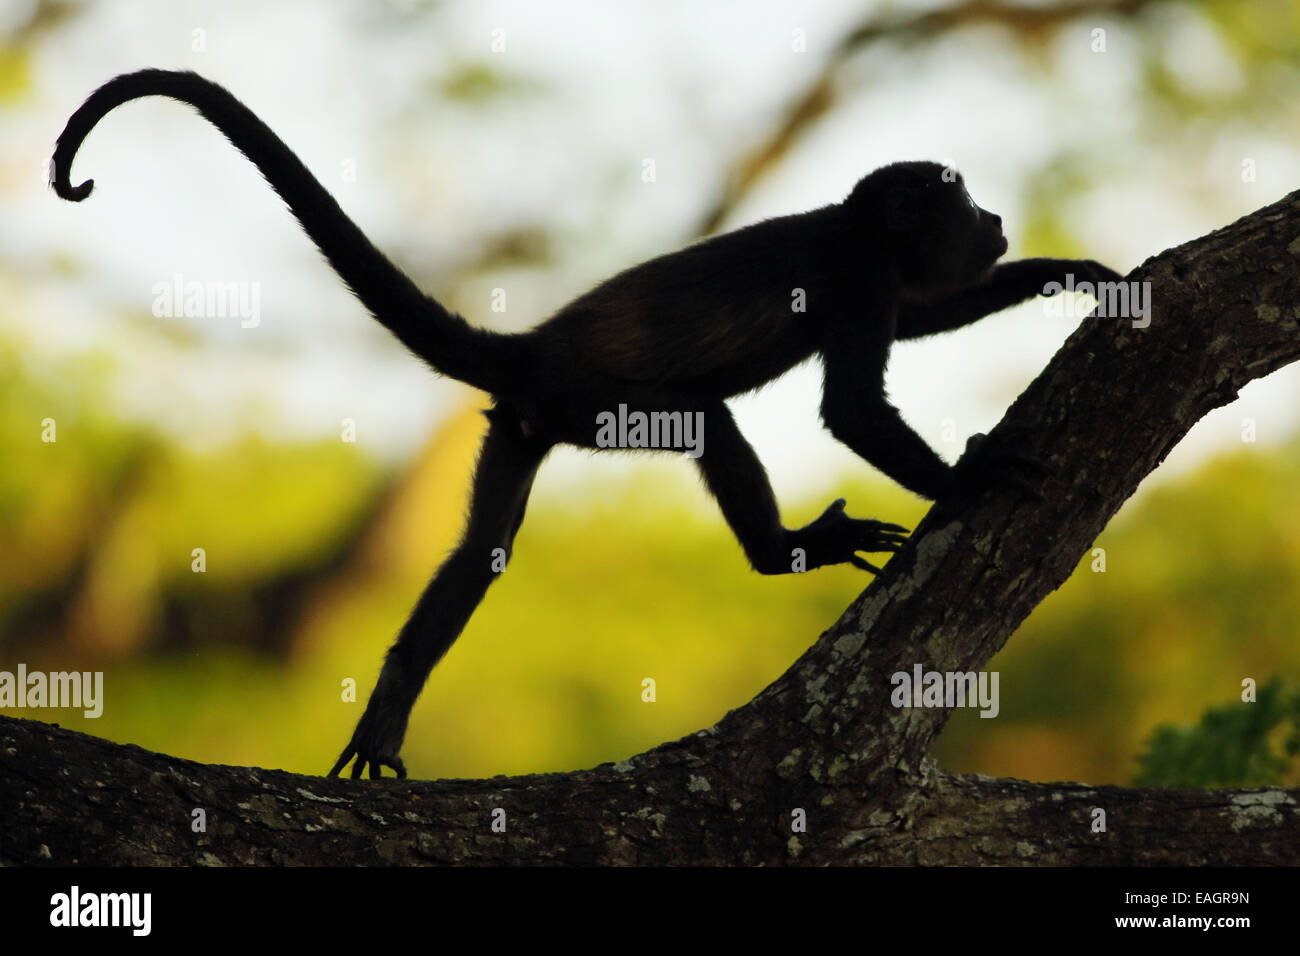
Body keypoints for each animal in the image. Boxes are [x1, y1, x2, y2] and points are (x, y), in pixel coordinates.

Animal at [51, 70, 1123, 779]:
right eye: (963, 197)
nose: (997, 222)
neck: (864, 231)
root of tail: (535, 348)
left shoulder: (886, 282)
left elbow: (931, 313)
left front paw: (1060, 276)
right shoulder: (859, 276)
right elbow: (852, 405)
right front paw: (972, 479)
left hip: (521, 427)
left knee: (480, 551)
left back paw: (393, 696)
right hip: (599, 404)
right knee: (707, 419)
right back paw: (782, 553)